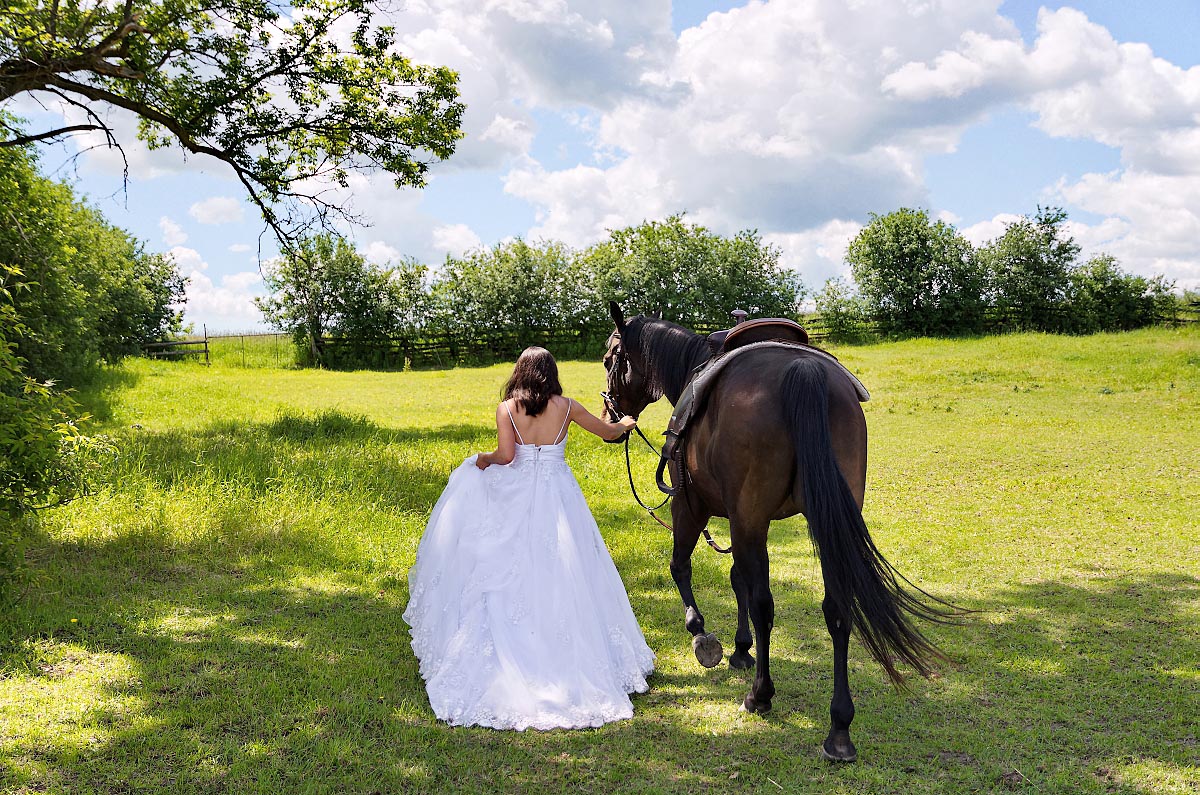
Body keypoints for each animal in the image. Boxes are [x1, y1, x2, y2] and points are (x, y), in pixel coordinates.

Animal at [602, 302, 955, 762]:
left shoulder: (695, 506)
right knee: (837, 610)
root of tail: (803, 372)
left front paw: (703, 637)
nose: (610, 416)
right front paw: (740, 649)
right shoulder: (743, 519)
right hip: (823, 521)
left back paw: (760, 696)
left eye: (609, 360)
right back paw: (839, 729)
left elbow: (683, 567)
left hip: (745, 517)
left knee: (764, 606)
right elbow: (737, 578)